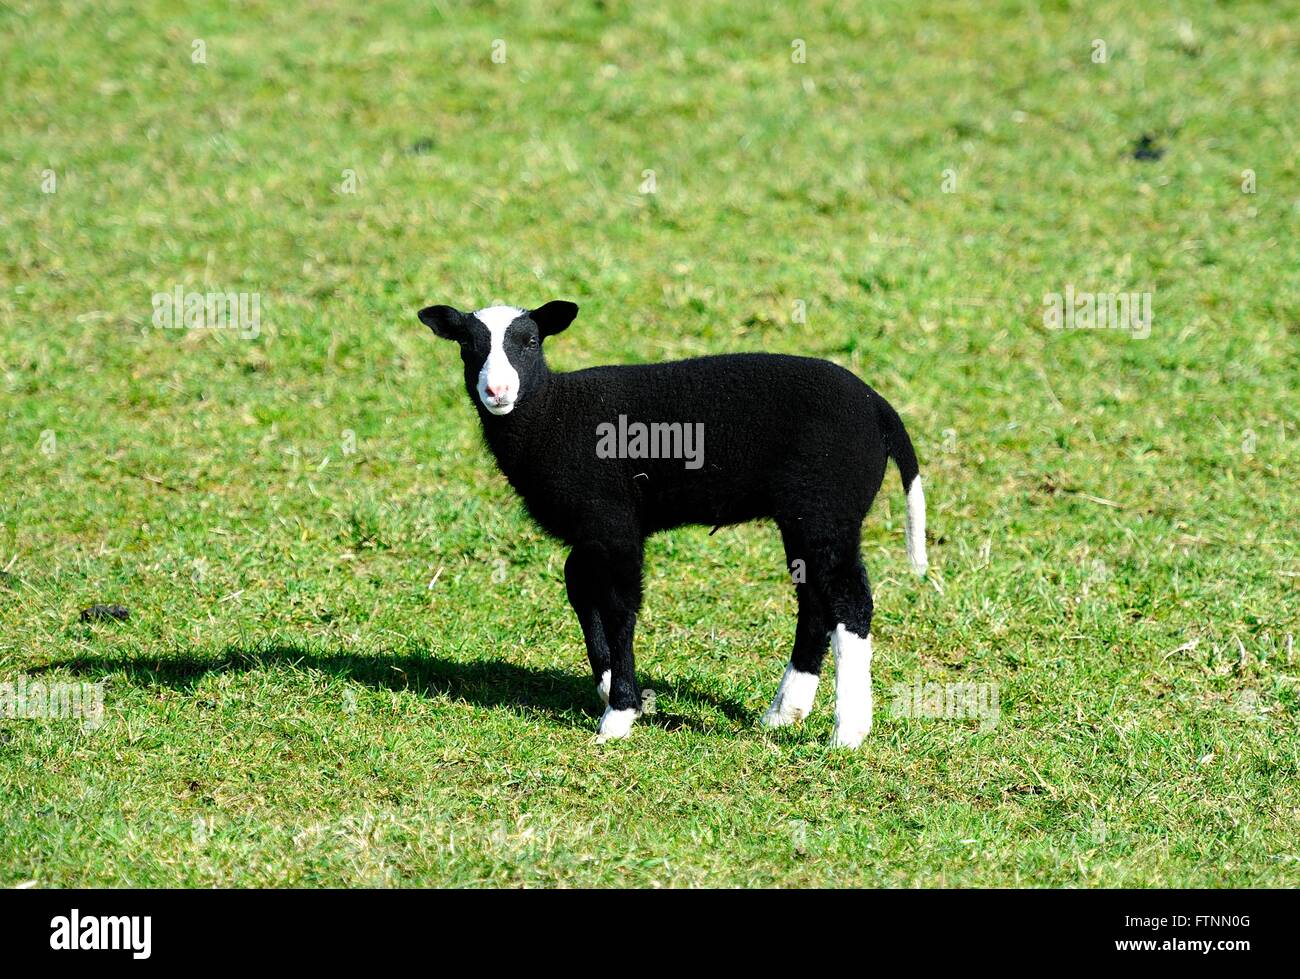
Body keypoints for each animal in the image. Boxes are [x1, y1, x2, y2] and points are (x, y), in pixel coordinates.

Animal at [417, 300, 928, 747]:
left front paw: (619, 714)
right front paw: (608, 682)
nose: (497, 392)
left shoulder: (615, 523)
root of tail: (879, 409)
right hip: (807, 515)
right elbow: (580, 588)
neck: (552, 415)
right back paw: (785, 711)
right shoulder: (593, 529)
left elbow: (620, 608)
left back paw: (849, 732)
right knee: (816, 601)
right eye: (467, 345)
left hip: (827, 508)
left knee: (849, 601)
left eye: (529, 341)